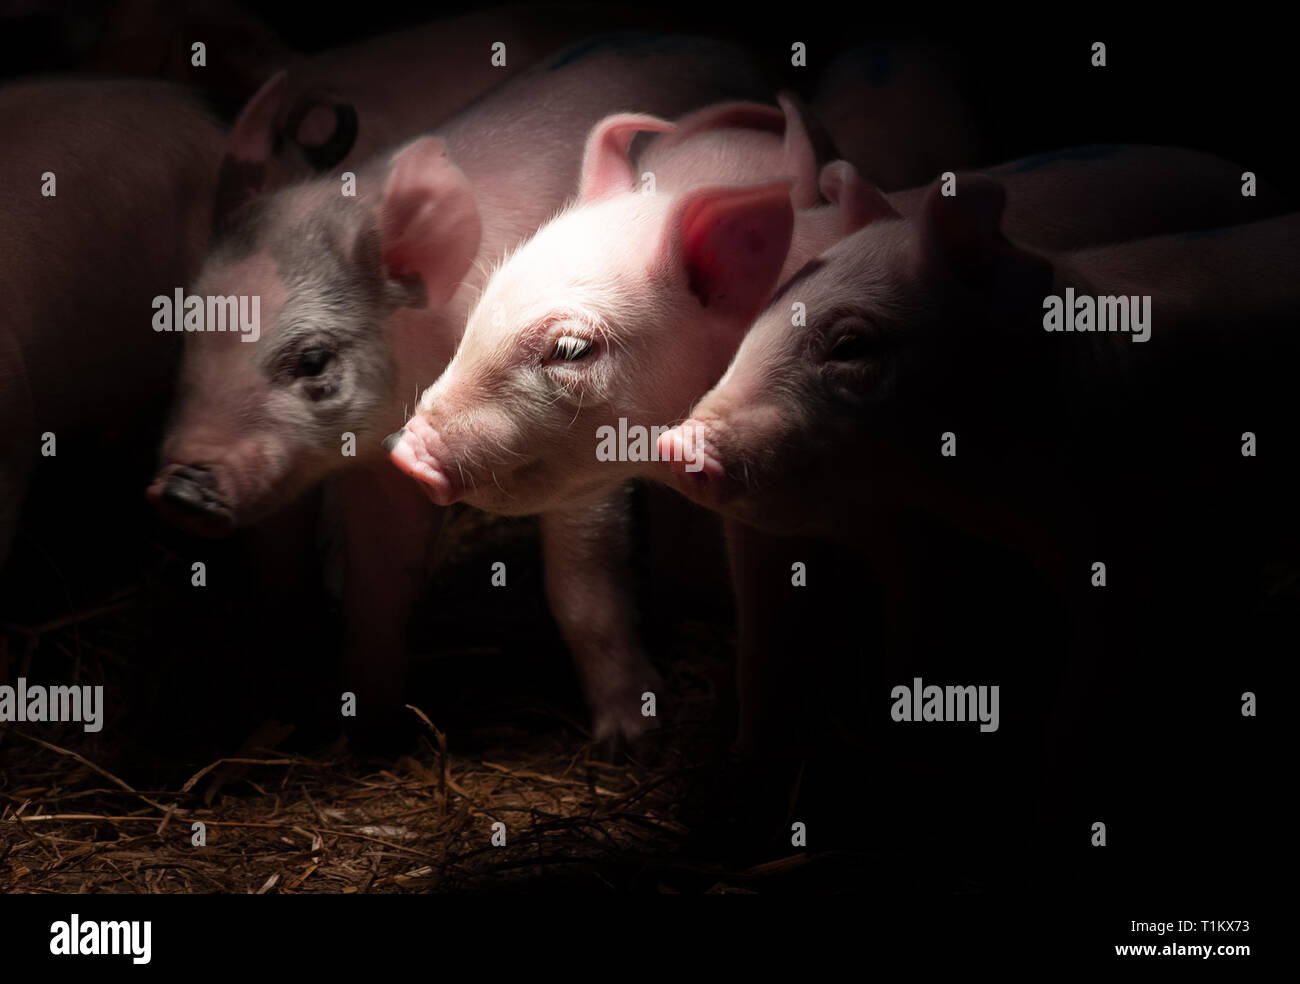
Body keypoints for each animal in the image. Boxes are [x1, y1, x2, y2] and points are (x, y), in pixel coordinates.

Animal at [148, 36, 775, 747]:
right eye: (186, 330)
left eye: (312, 358)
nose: (180, 491)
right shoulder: (372, 466)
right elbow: (363, 583)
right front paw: (359, 732)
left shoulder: (583, 455)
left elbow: (578, 583)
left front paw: (631, 738)